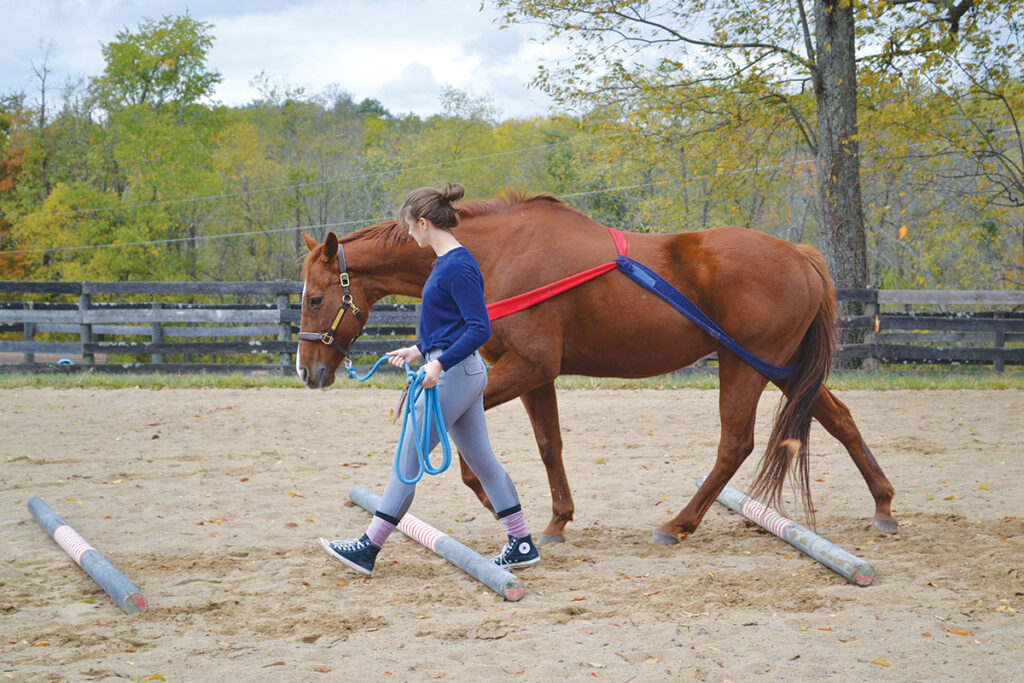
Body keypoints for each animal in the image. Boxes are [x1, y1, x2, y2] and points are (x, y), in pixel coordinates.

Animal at [296, 193, 897, 545]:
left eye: (315, 298)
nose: (307, 373)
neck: (496, 256)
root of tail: (798, 254)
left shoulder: (527, 365)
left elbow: (465, 449)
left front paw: (495, 501)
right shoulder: (537, 375)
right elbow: (549, 445)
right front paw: (556, 521)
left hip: (746, 366)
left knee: (735, 444)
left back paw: (677, 525)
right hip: (780, 367)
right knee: (840, 420)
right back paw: (884, 505)